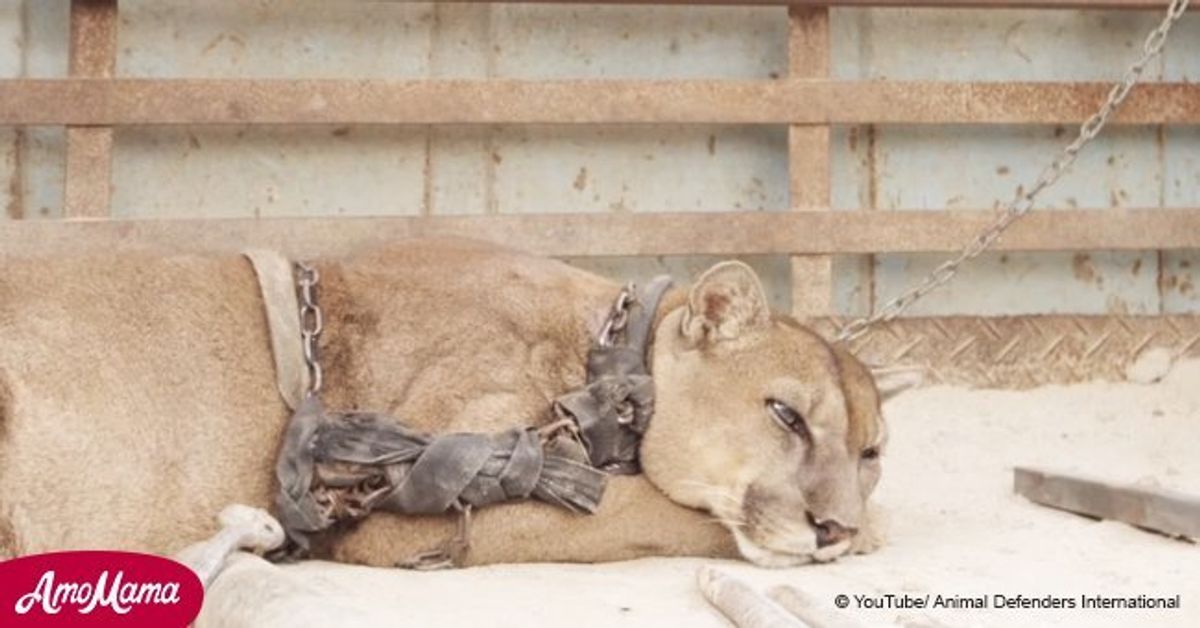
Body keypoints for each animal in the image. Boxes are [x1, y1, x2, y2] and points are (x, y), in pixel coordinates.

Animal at [0, 238, 903, 568]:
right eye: (785, 415)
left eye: (871, 452)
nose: (833, 526)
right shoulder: (406, 509)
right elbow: (640, 509)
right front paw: (854, 538)